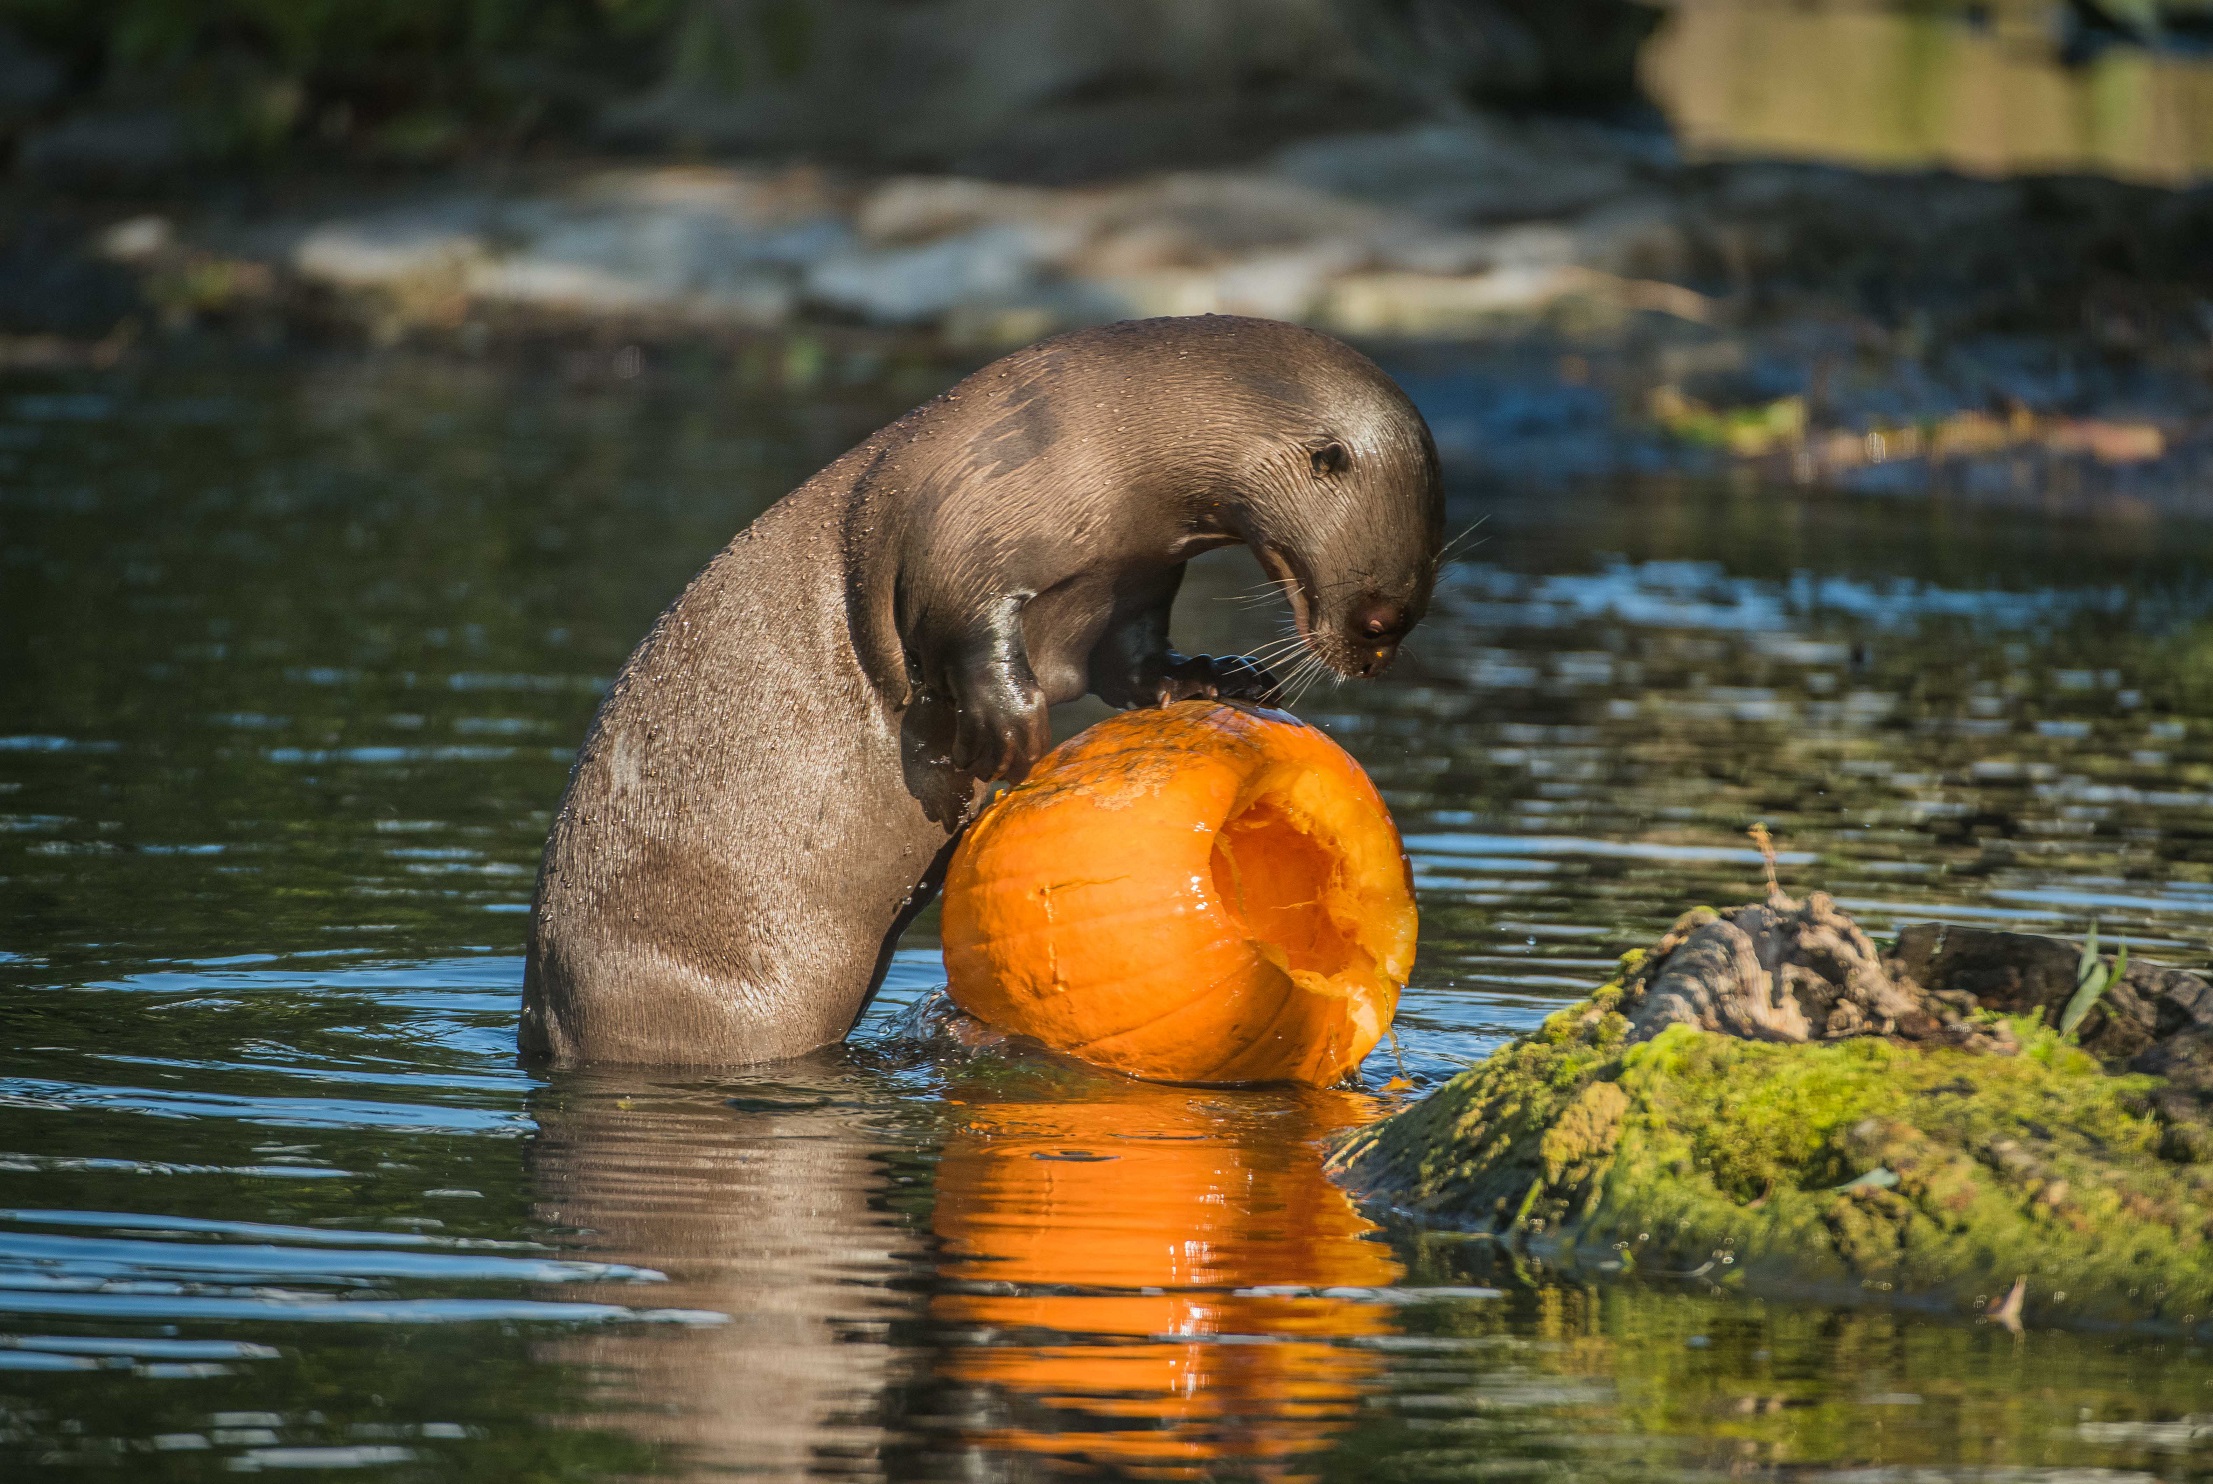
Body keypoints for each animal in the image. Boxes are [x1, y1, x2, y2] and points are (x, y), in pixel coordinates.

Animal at [524, 314, 1442, 1061]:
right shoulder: (965, 518)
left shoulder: (1134, 578)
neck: (1097, 442)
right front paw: (1007, 731)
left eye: (1403, 621)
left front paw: (1218, 677)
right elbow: (960, 623)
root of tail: (547, 1025)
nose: (1370, 658)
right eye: (1378, 620)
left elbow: (1132, 664)